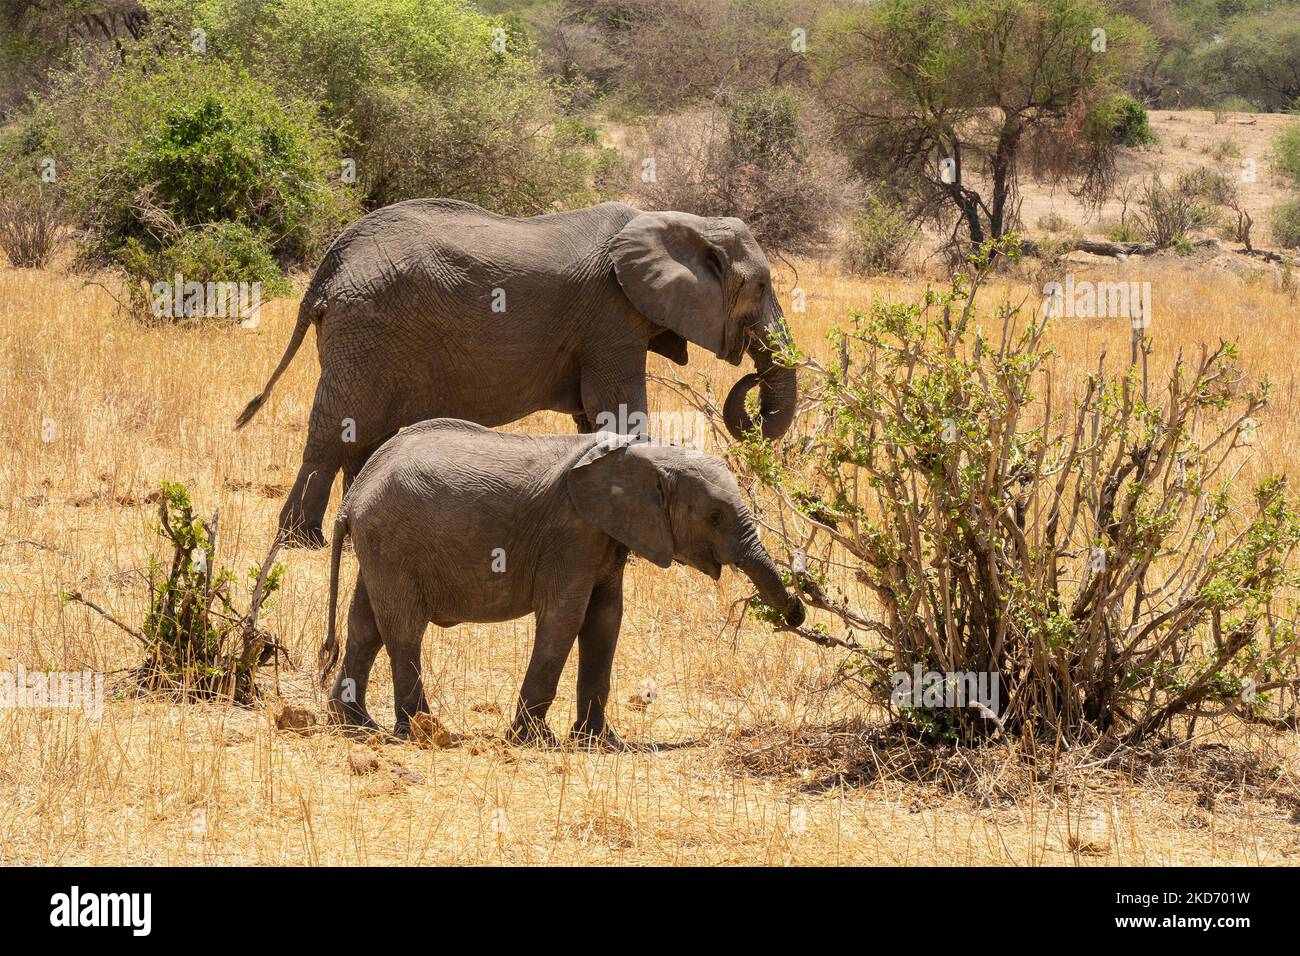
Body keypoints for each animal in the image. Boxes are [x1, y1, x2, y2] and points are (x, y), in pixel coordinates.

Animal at [235, 199, 799, 548]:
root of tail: (329, 267)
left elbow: (591, 418)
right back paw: (302, 540)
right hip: (367, 326)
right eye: (762, 286)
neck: (678, 221)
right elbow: (617, 406)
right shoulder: (610, 315)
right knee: (338, 427)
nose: (751, 378)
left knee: (363, 434)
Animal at [317, 419, 806, 748]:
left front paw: (598, 742)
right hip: (393, 539)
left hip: (381, 545)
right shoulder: (572, 533)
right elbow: (565, 618)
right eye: (715, 516)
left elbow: (606, 620)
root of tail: (352, 497)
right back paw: (421, 732)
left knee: (365, 626)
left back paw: (356, 724)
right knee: (403, 629)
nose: (797, 613)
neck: (643, 455)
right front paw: (533, 741)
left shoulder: (607, 535)